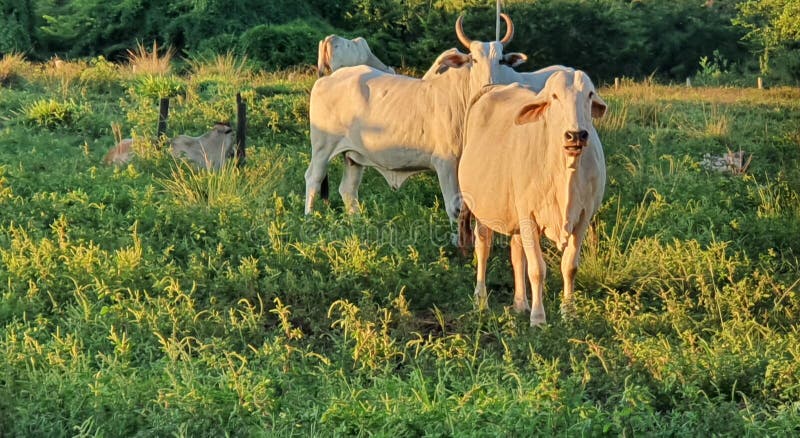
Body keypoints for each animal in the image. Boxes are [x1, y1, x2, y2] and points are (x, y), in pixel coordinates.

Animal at [305, 14, 521, 223]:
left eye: (501, 60)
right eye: (473, 60)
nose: (490, 85)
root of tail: (327, 79)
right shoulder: (446, 163)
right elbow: (454, 209)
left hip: (353, 156)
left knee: (348, 190)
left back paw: (357, 223)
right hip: (323, 148)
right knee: (313, 179)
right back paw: (309, 220)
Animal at [458, 69, 608, 326]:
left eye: (589, 94)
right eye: (554, 96)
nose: (576, 134)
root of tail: (494, 87)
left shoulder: (583, 216)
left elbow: (569, 266)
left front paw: (569, 312)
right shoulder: (528, 215)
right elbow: (537, 269)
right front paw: (538, 318)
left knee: (517, 253)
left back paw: (520, 303)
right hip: (483, 209)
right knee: (483, 247)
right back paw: (481, 299)